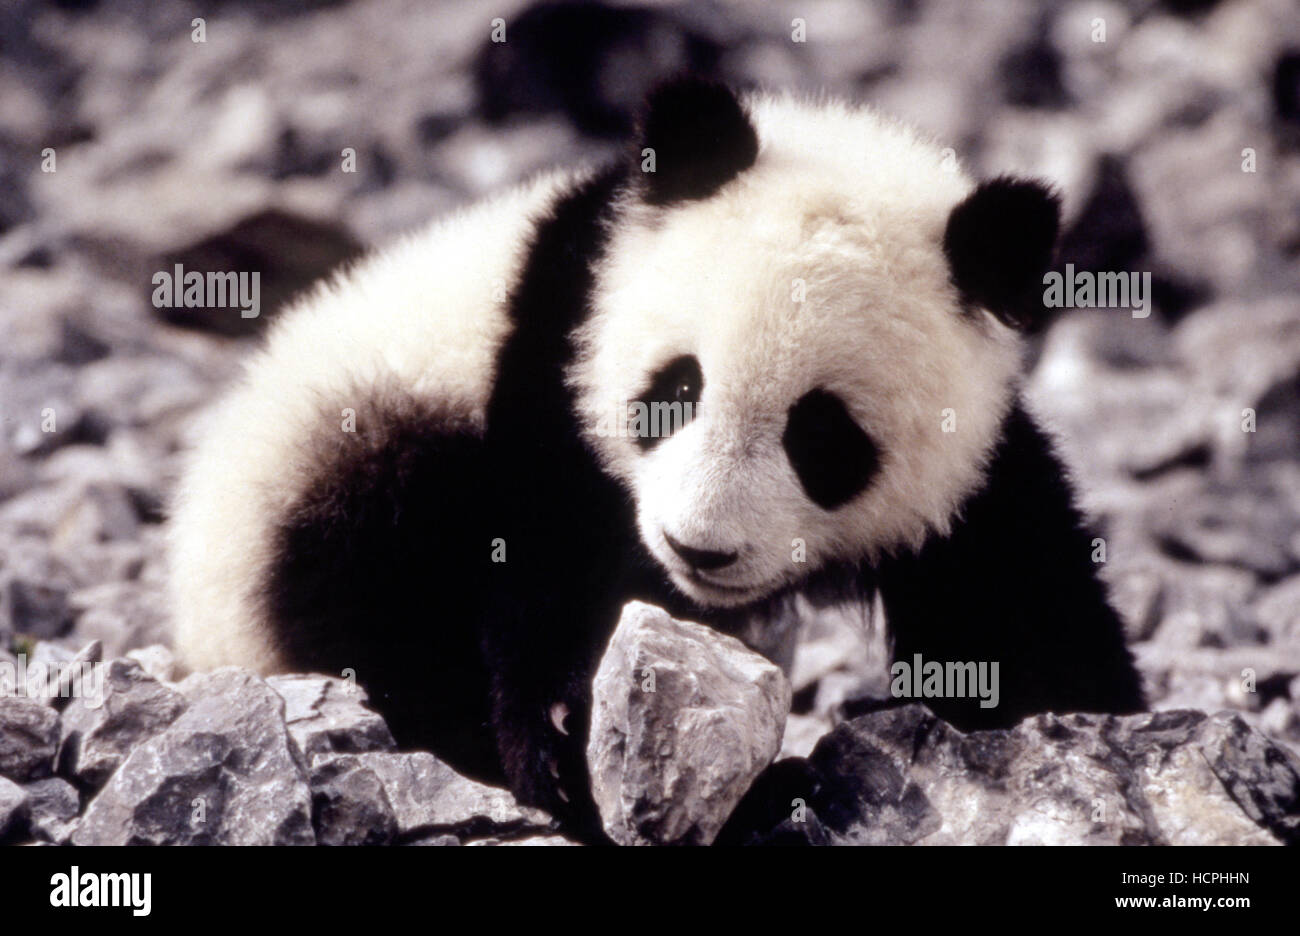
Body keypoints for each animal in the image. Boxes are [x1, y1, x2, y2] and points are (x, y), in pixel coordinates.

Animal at [169, 78, 1145, 841]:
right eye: (677, 388)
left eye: (822, 436)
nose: (699, 548)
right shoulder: (556, 355)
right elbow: (541, 555)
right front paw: (574, 732)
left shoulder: (974, 468)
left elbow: (1019, 611)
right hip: (333, 460)